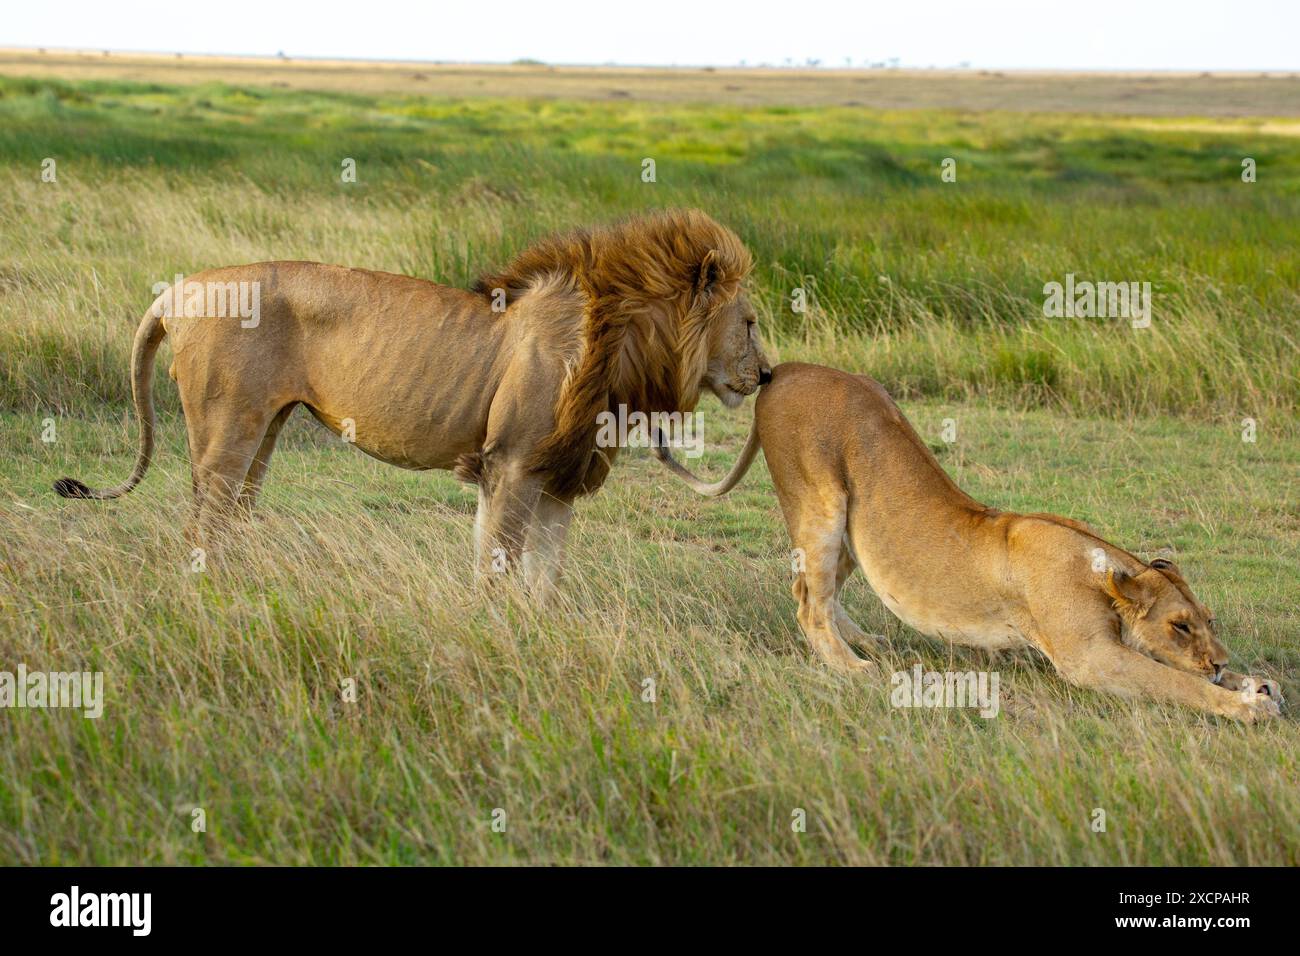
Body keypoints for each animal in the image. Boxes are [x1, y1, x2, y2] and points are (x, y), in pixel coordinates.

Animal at [53, 209, 772, 599]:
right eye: (751, 323)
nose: (765, 375)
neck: (621, 339)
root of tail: (177, 292)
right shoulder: (513, 464)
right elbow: (497, 568)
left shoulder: (553, 476)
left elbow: (543, 577)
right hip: (226, 429)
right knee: (202, 520)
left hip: (263, 431)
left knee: (230, 517)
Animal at [655, 362, 1282, 723]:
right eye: (1180, 625)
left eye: (1210, 621)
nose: (1220, 661)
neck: (1101, 571)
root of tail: (783, 367)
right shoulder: (1088, 658)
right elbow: (1173, 683)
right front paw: (1246, 704)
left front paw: (1255, 683)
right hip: (820, 503)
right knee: (808, 601)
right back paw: (853, 668)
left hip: (857, 534)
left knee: (817, 590)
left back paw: (871, 643)